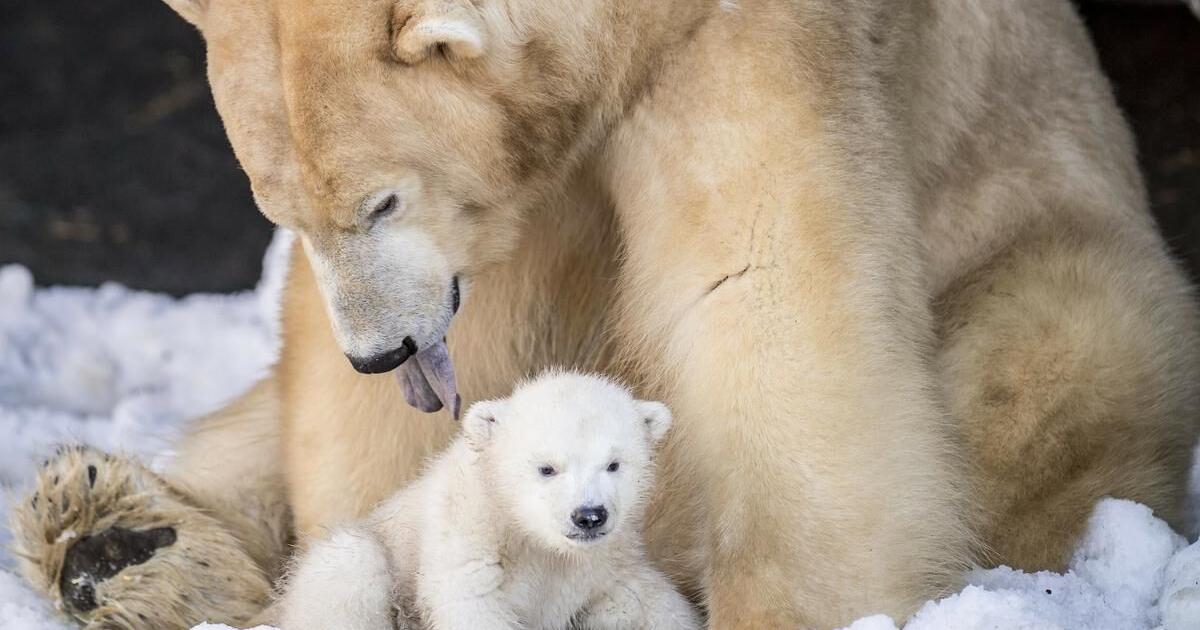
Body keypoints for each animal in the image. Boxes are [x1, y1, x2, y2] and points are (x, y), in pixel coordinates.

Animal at [275, 371, 700, 630]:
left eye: (614, 464)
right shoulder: (468, 532)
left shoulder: (605, 565)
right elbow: (471, 599)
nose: (589, 516)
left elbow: (647, 604)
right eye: (547, 468)